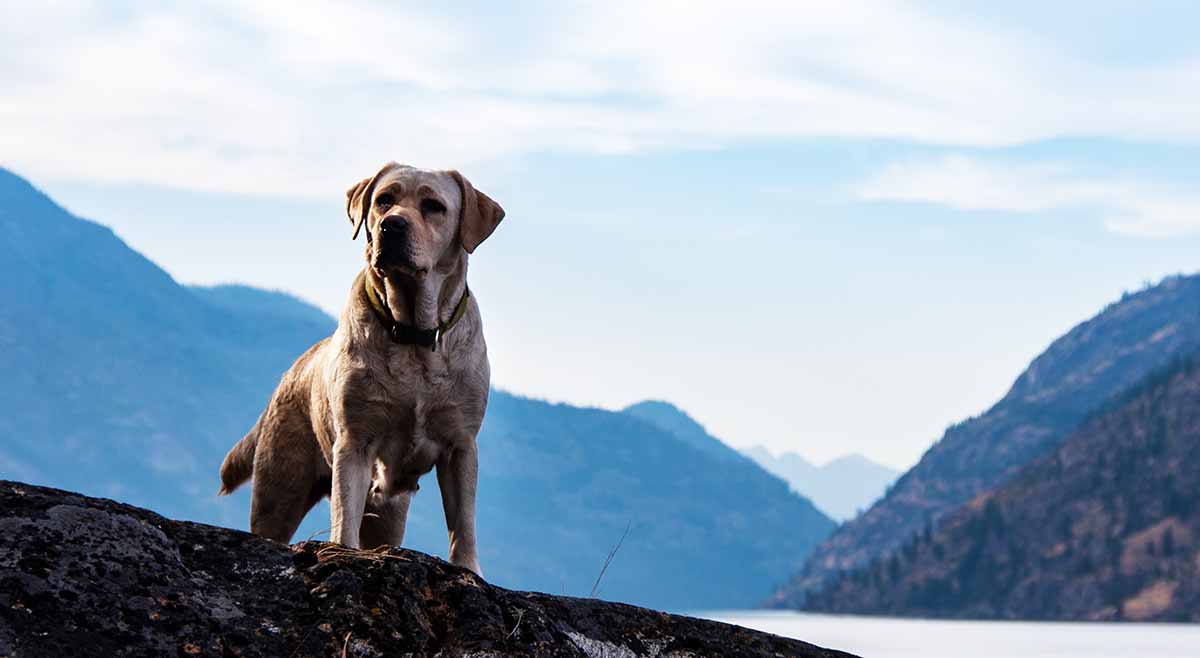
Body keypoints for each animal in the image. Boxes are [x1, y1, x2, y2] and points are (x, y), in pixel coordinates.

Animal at [218, 162, 504, 573]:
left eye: (433, 206)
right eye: (384, 199)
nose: (392, 225)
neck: (413, 333)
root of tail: (294, 369)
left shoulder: (461, 445)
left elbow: (463, 522)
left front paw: (468, 569)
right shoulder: (355, 441)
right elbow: (344, 511)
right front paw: (342, 551)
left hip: (389, 515)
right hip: (280, 489)